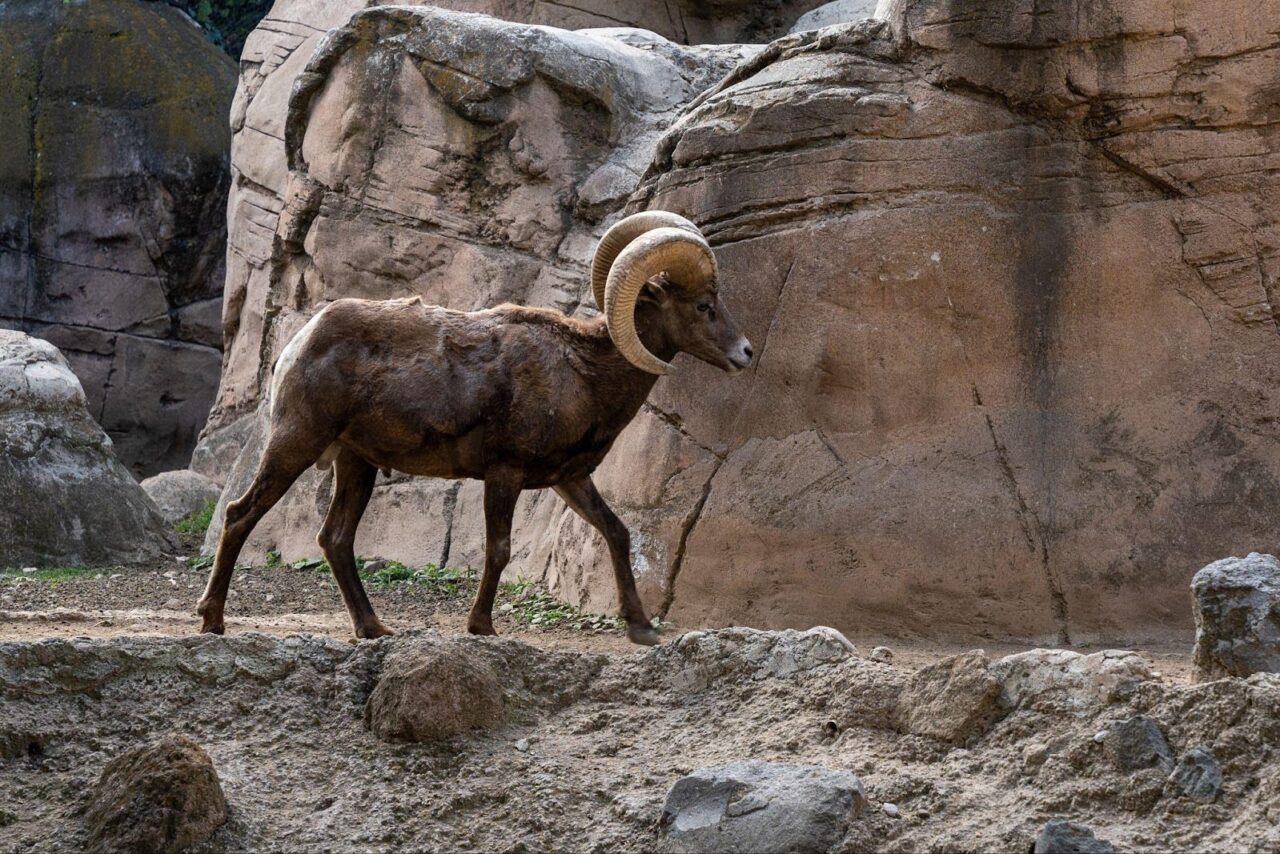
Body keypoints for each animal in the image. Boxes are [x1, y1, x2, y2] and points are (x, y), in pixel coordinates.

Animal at [196, 211, 752, 646]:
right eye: (704, 305)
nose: (745, 353)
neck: (585, 372)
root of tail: (300, 343)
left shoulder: (570, 480)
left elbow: (616, 533)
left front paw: (641, 629)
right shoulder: (504, 475)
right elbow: (499, 550)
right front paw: (481, 626)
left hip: (357, 465)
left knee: (334, 539)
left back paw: (373, 629)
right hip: (296, 443)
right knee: (240, 515)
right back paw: (213, 621)